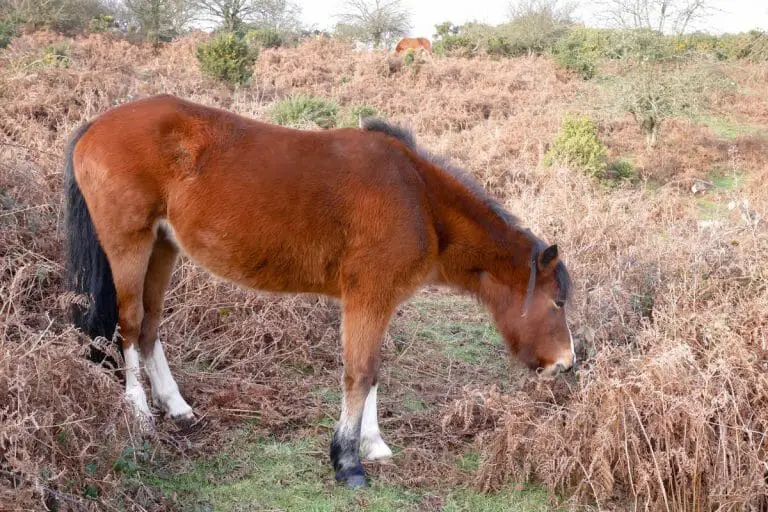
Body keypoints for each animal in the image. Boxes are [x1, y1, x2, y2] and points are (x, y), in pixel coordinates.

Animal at [63, 94, 575, 489]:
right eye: (558, 301)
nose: (567, 364)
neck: (419, 198)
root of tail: (95, 126)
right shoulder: (367, 299)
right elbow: (360, 374)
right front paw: (347, 461)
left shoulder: (375, 302)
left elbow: (373, 371)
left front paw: (373, 444)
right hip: (130, 246)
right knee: (130, 324)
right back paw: (139, 413)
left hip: (163, 248)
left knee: (150, 325)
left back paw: (177, 406)